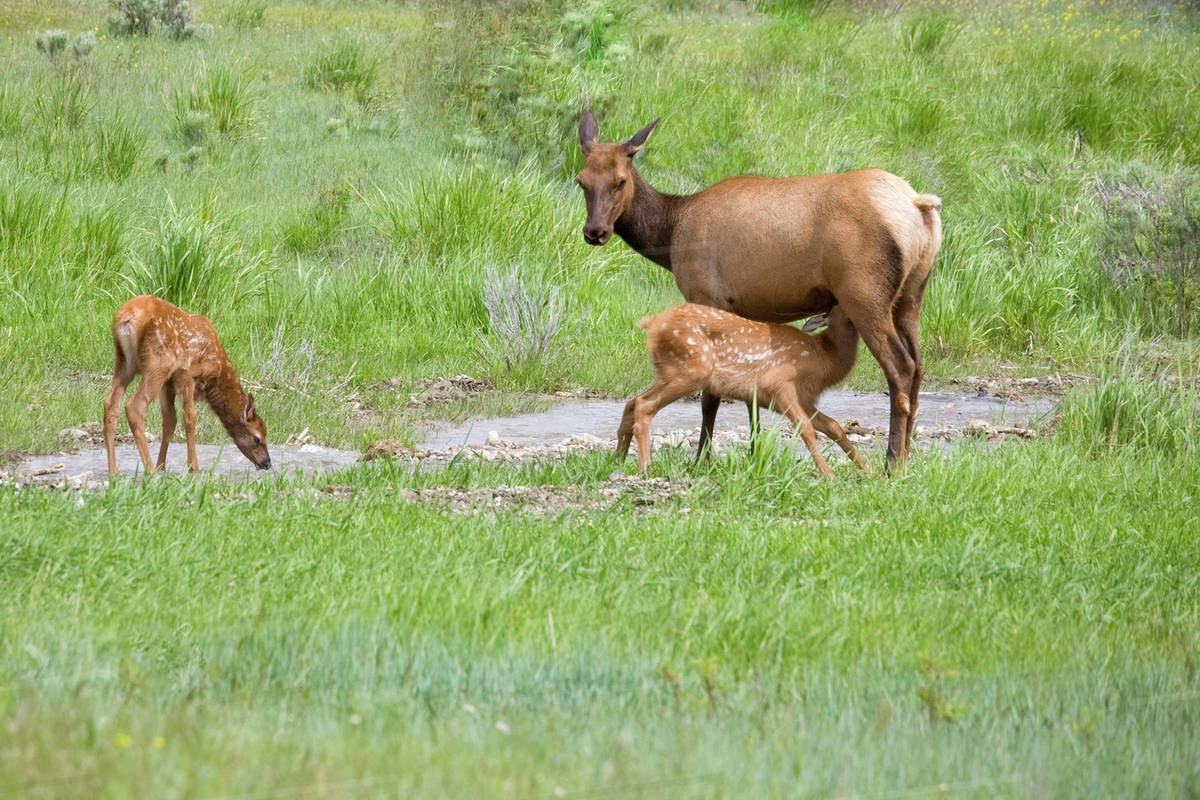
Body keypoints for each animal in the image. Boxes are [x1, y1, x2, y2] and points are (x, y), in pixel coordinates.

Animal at [103, 295, 271, 477]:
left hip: (124, 362)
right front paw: (193, 467)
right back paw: (150, 470)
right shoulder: (187, 375)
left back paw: (113, 471)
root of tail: (126, 317)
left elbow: (170, 421)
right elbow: (190, 417)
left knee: (110, 404)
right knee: (134, 406)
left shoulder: (168, 384)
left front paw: (162, 465)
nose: (267, 463)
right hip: (158, 363)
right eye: (257, 438)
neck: (216, 371)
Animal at [617, 303, 871, 476]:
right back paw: (645, 467)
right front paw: (828, 474)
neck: (822, 357)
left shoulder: (805, 399)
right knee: (644, 406)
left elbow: (834, 426)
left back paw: (617, 459)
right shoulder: (779, 384)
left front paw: (867, 469)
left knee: (632, 402)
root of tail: (652, 323)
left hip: (669, 371)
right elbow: (806, 428)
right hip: (690, 369)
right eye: (840, 304)